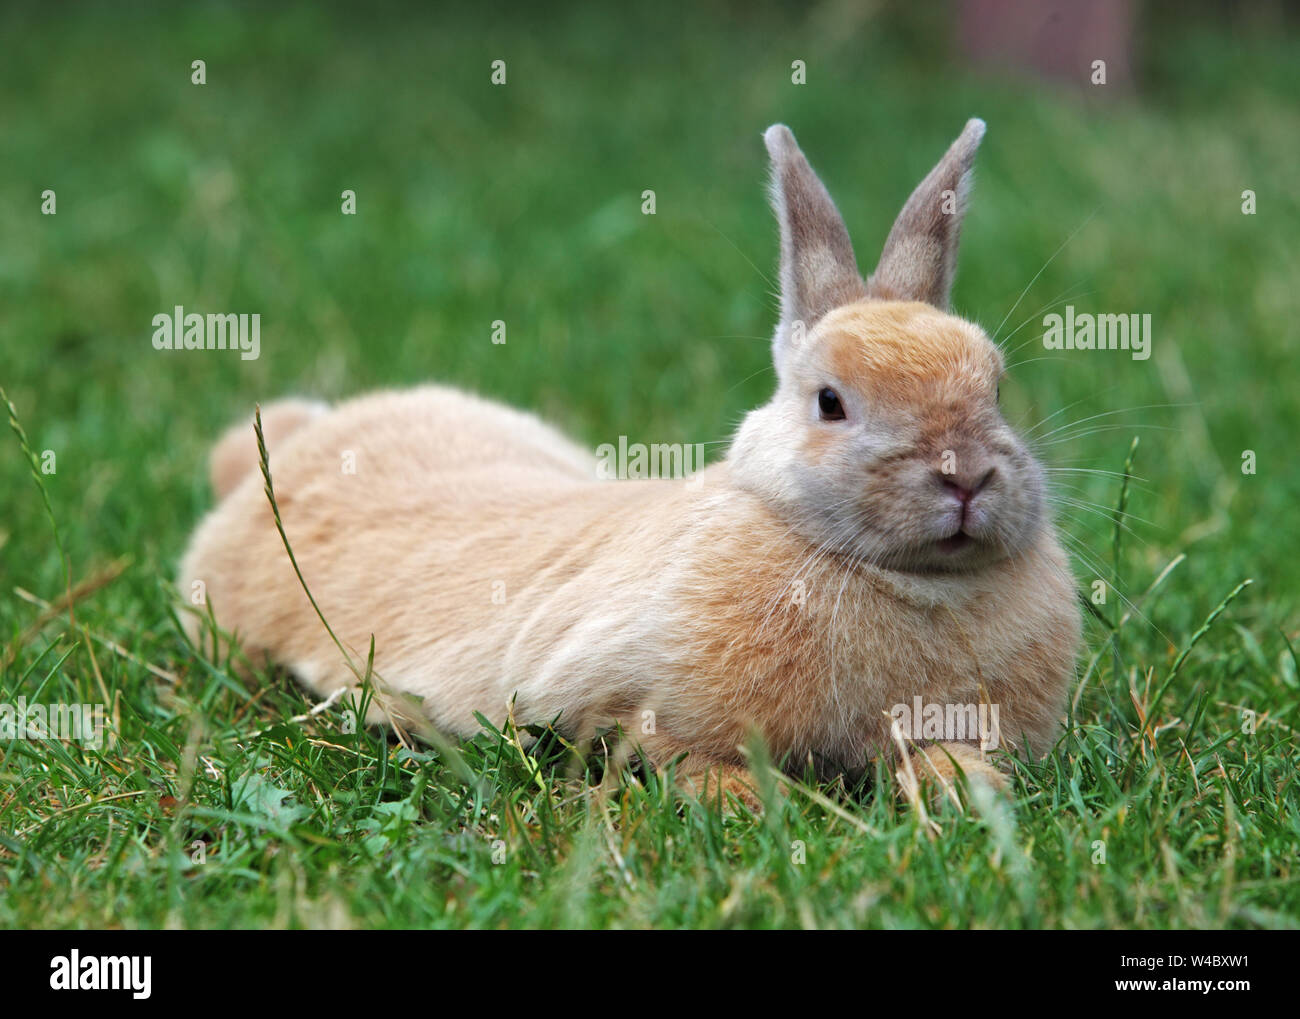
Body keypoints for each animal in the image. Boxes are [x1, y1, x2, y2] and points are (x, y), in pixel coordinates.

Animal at [179, 119, 1081, 807]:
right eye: (830, 401)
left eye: (995, 385)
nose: (965, 476)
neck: (912, 581)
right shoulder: (628, 693)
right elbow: (664, 747)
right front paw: (750, 803)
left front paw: (971, 789)